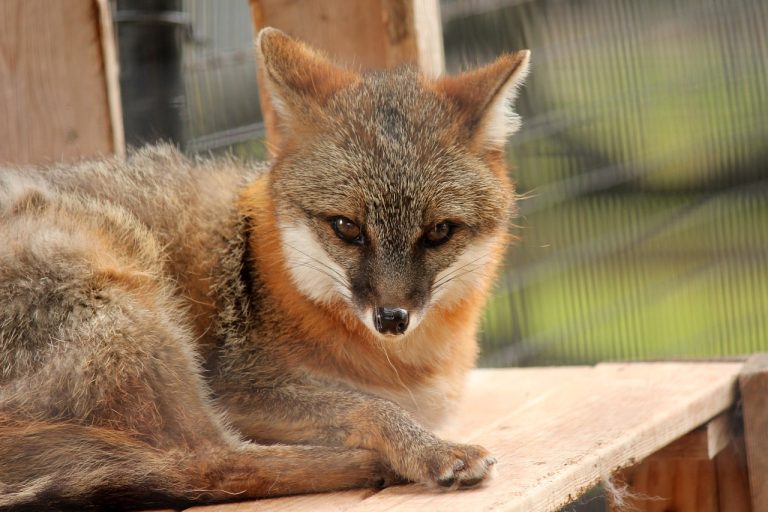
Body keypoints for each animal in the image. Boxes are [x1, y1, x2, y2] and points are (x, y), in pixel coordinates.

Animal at [0, 28, 530, 510]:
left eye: (439, 231)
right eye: (347, 227)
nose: (392, 319)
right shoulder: (236, 387)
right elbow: (369, 405)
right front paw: (427, 449)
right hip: (135, 295)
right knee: (205, 462)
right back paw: (369, 464)